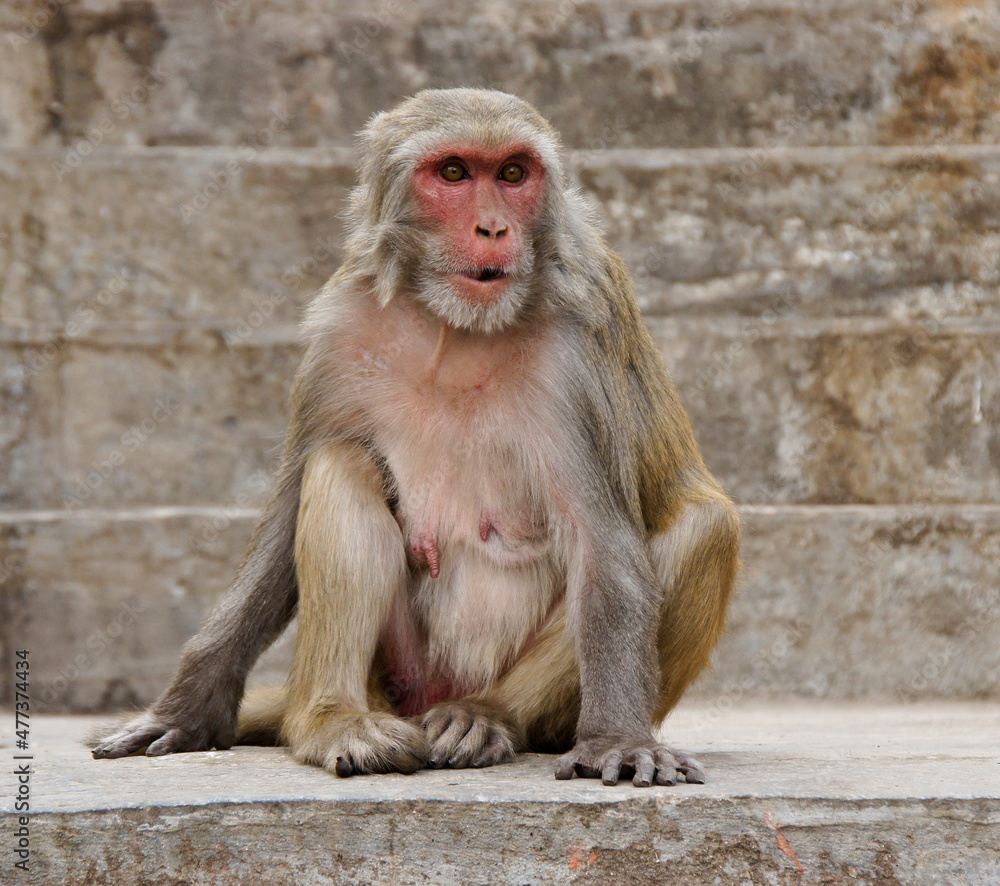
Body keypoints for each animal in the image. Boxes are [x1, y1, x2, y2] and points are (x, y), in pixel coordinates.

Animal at [92, 88, 739, 787]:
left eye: (513, 174)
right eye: (453, 173)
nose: (494, 228)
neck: (451, 328)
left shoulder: (578, 351)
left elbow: (604, 548)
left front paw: (619, 737)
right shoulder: (340, 333)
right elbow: (285, 521)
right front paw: (188, 706)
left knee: (707, 527)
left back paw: (488, 715)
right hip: (396, 674)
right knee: (340, 463)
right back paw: (330, 720)